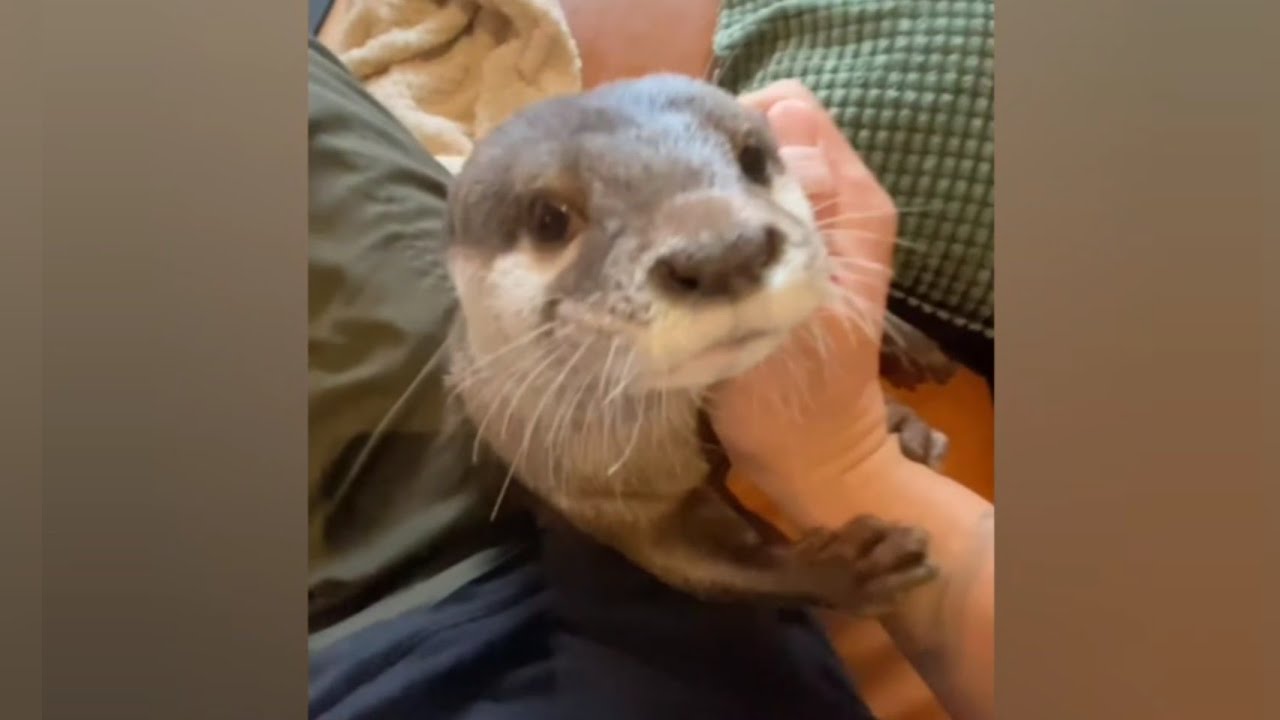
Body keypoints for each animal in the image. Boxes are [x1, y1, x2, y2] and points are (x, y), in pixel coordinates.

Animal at [443, 74, 955, 613]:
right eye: (549, 218)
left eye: (752, 157)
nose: (724, 253)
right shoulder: (606, 500)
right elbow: (725, 574)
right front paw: (852, 570)